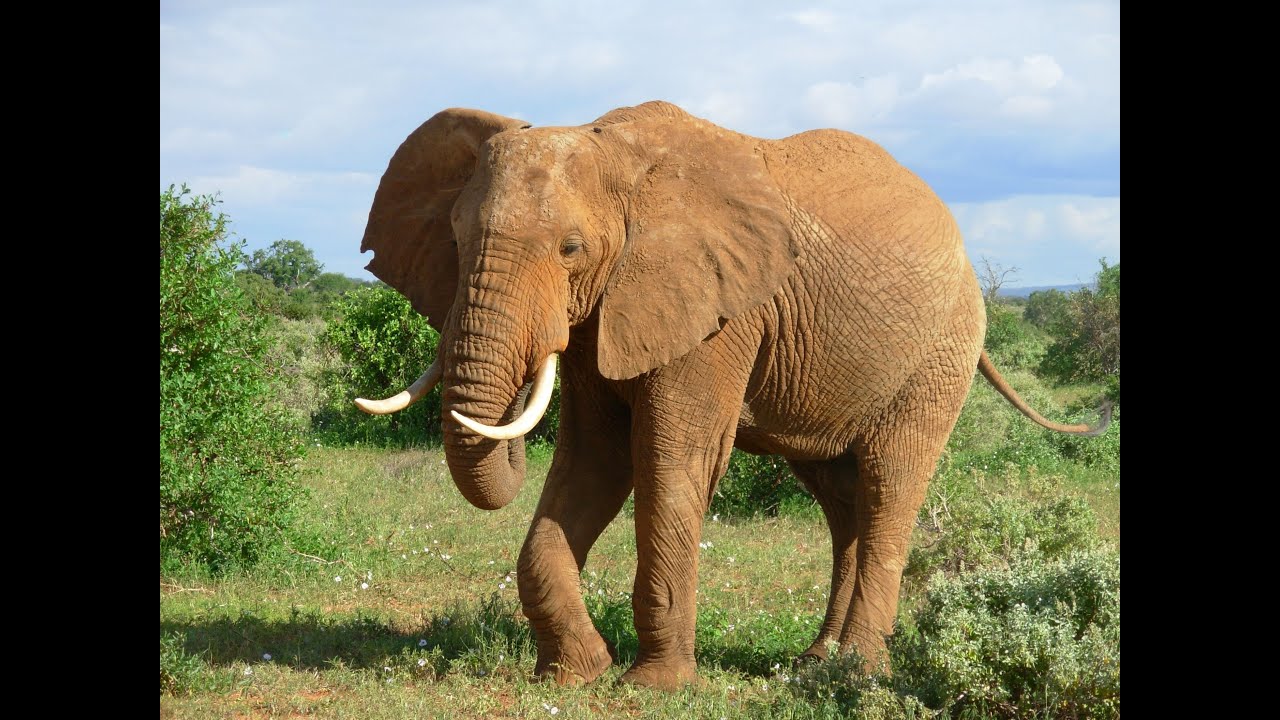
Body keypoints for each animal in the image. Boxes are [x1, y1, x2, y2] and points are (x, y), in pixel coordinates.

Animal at [354, 101, 1110, 689]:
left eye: (571, 248)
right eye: (454, 238)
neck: (615, 150)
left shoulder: (717, 314)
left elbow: (671, 459)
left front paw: (653, 686)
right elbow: (594, 459)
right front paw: (575, 674)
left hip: (938, 352)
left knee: (889, 484)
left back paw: (858, 673)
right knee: (842, 500)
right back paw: (815, 663)